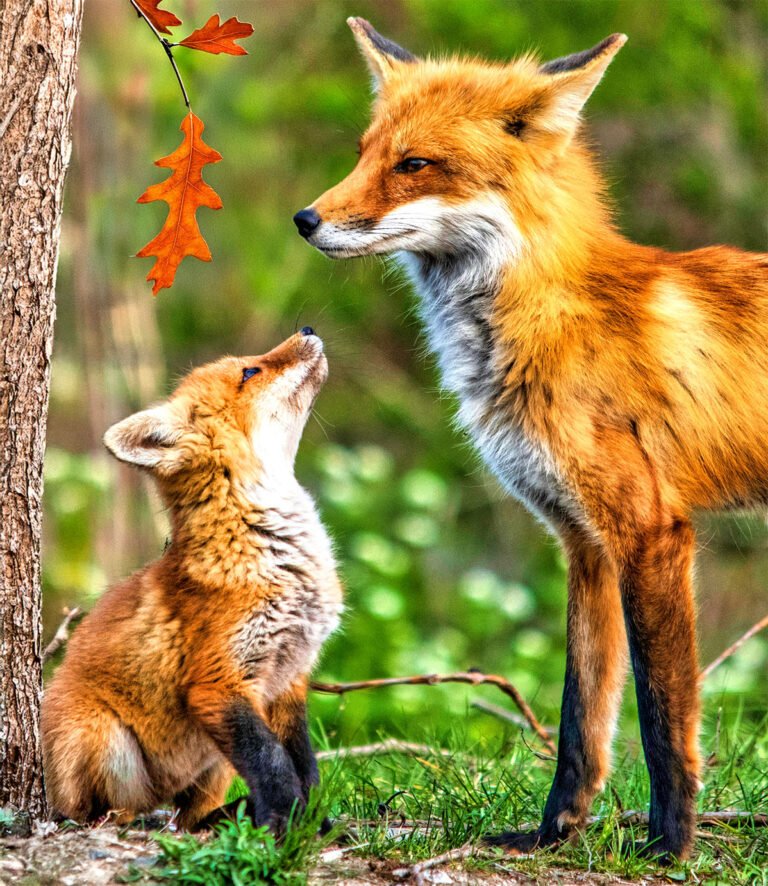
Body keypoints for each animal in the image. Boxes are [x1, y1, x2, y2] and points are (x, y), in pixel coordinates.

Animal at [41, 329, 343, 831]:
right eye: (250, 371)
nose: (308, 331)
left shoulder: (288, 680)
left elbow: (303, 762)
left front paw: (311, 819)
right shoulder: (217, 685)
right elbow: (273, 763)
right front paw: (284, 824)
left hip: (214, 767)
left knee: (189, 819)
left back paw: (222, 820)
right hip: (104, 739)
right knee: (107, 814)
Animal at [293, 19, 768, 861]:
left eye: (414, 165)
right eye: (363, 153)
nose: (306, 219)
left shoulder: (651, 531)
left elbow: (662, 715)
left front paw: (670, 845)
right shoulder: (584, 542)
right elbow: (582, 715)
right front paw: (553, 834)